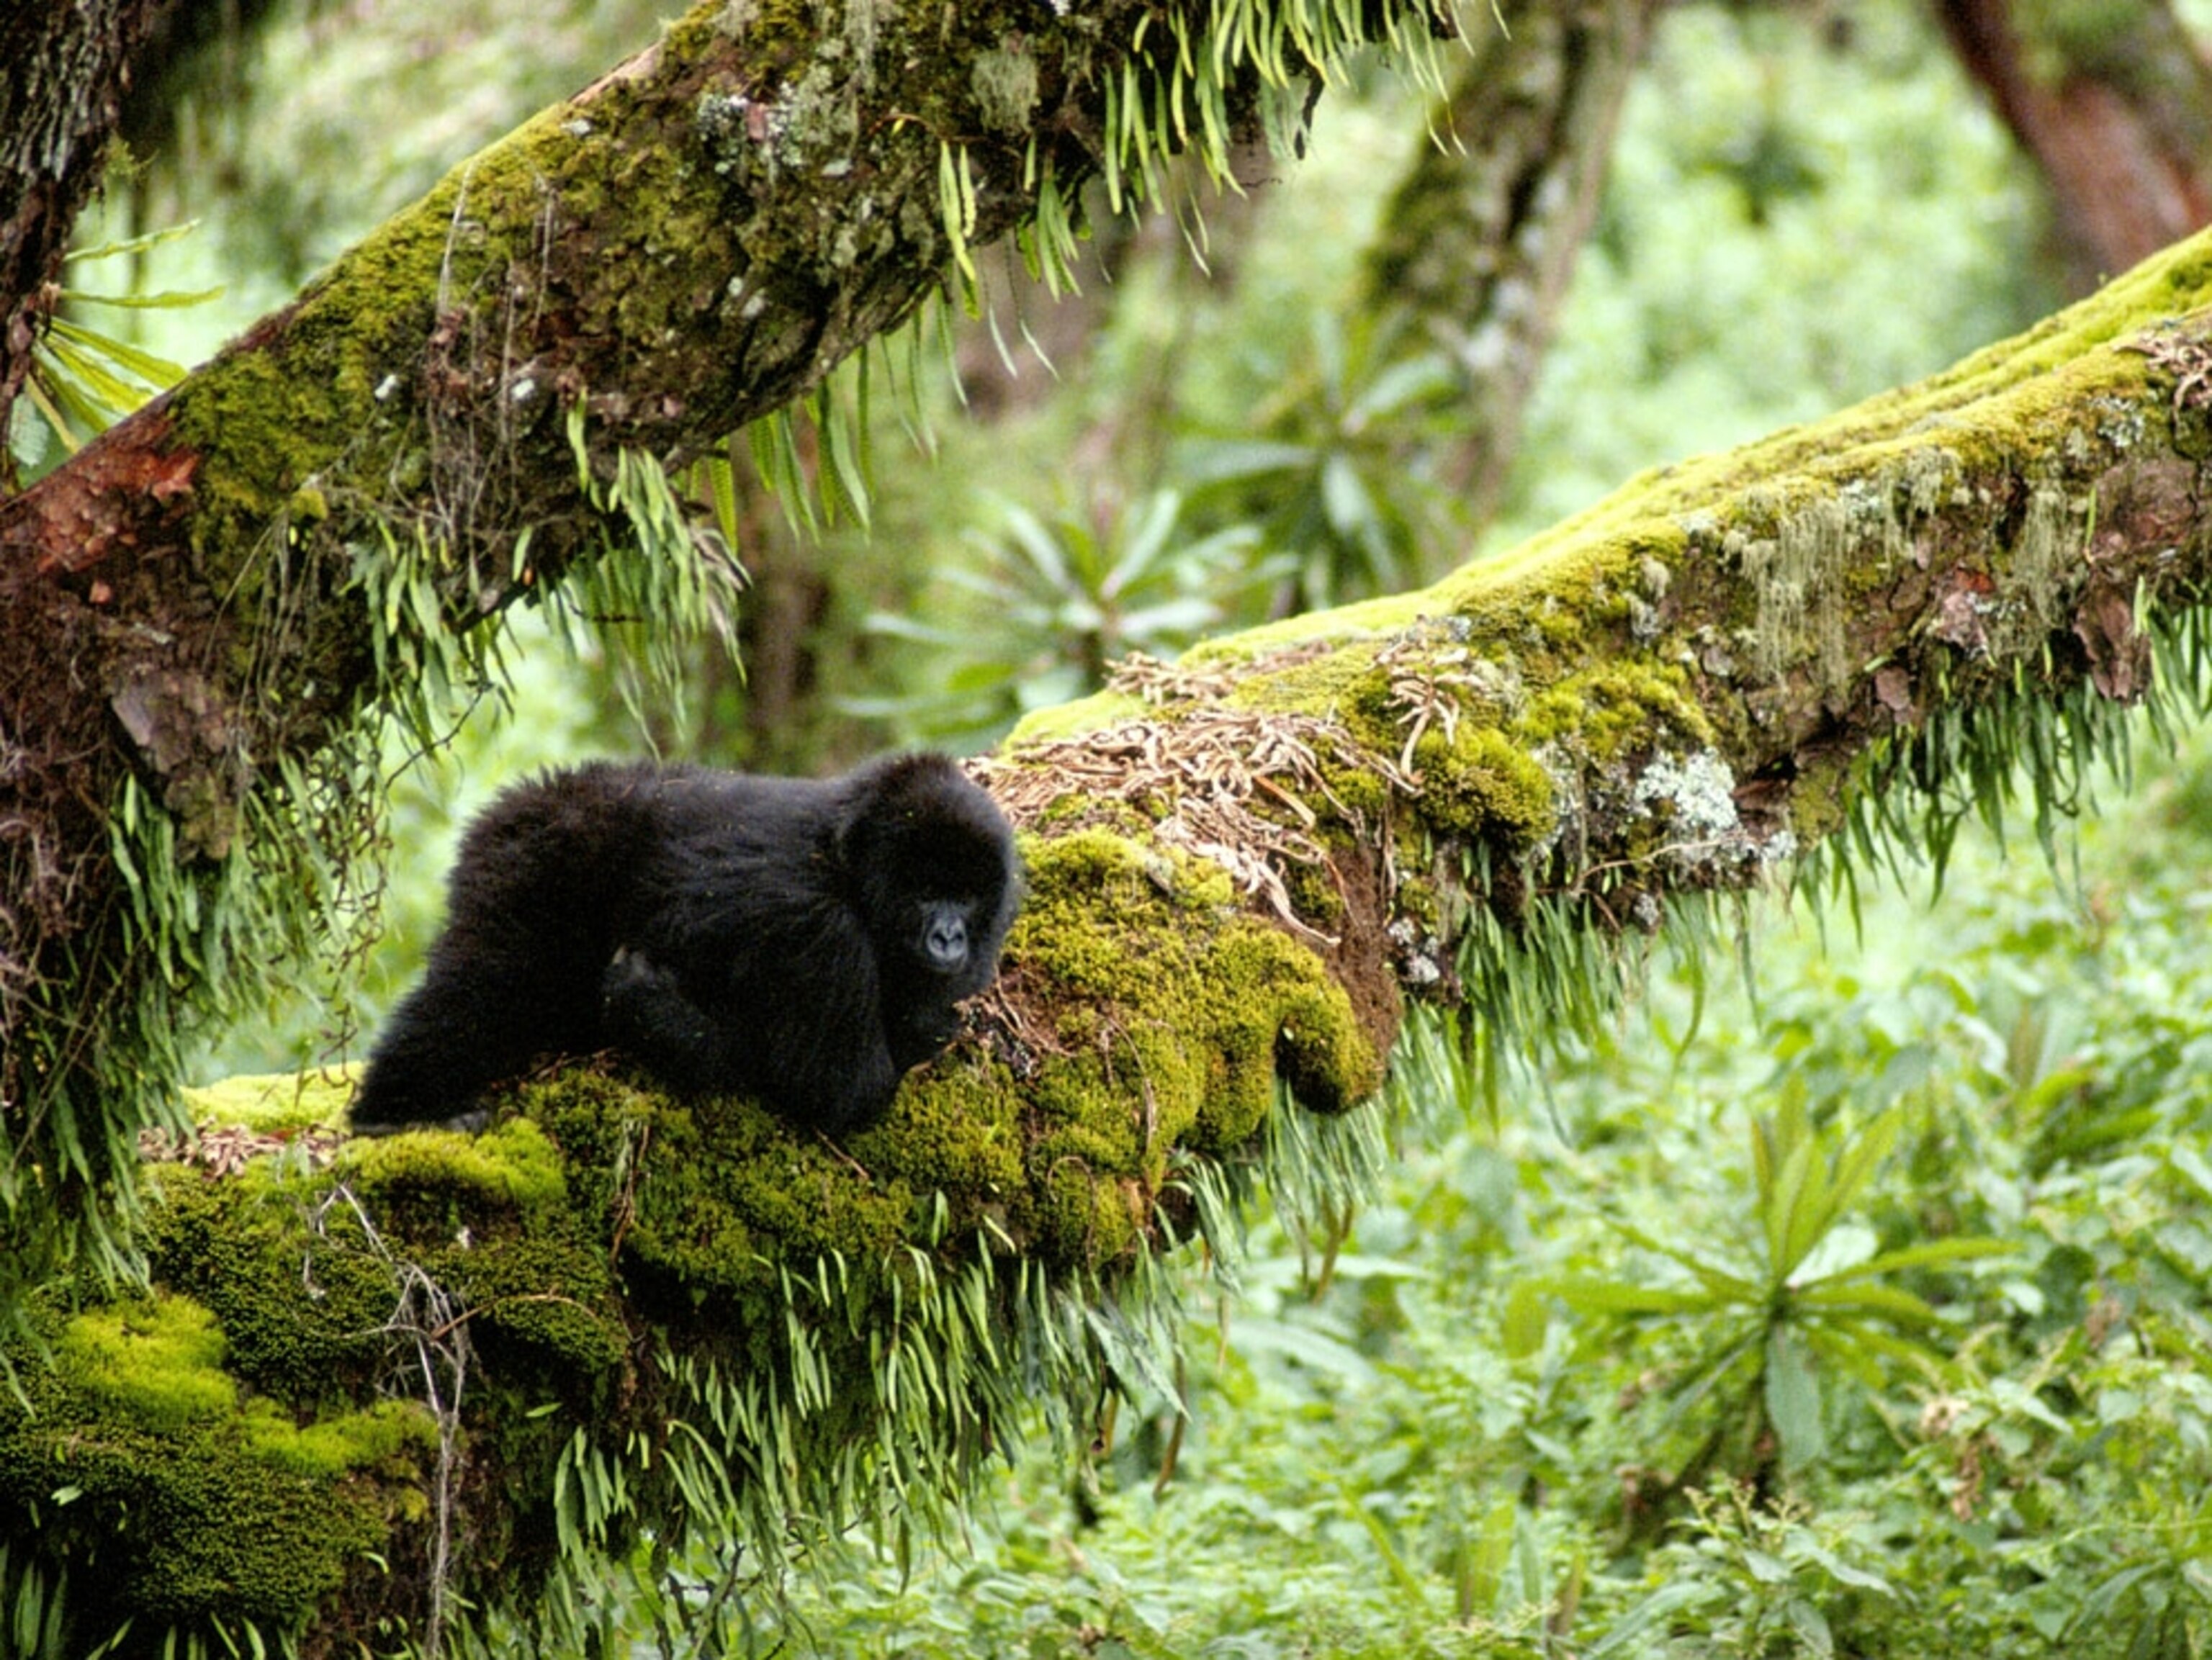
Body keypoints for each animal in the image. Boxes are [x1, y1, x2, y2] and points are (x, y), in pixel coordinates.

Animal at [349, 752, 1020, 1138]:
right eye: (926, 892)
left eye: (965, 895)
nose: (949, 937)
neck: (841, 860)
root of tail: (523, 801)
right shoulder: (821, 931)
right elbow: (838, 1091)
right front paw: (648, 1005)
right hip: (533, 866)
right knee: (488, 983)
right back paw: (393, 1112)